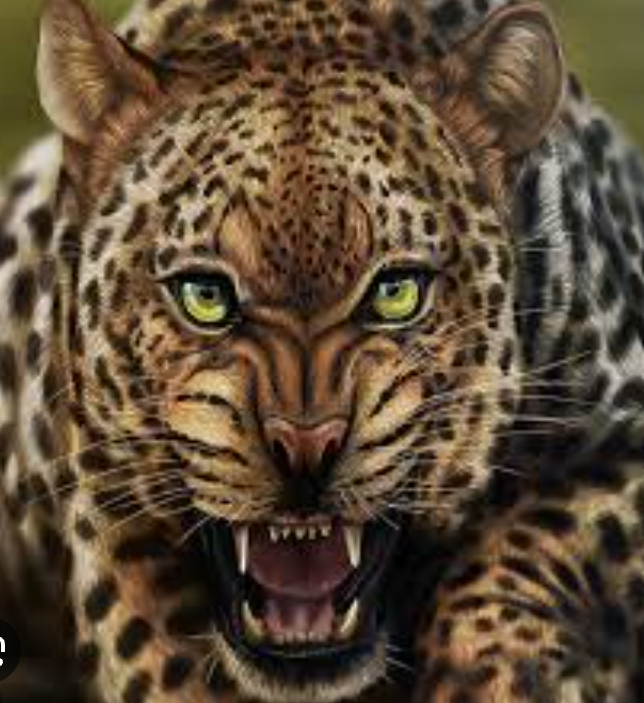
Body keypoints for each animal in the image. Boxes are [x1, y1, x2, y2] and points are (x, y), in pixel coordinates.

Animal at [1, 0, 644, 701]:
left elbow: (532, 544)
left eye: (396, 293)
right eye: (205, 296)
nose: (306, 449)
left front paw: (496, 670)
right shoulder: (117, 519)